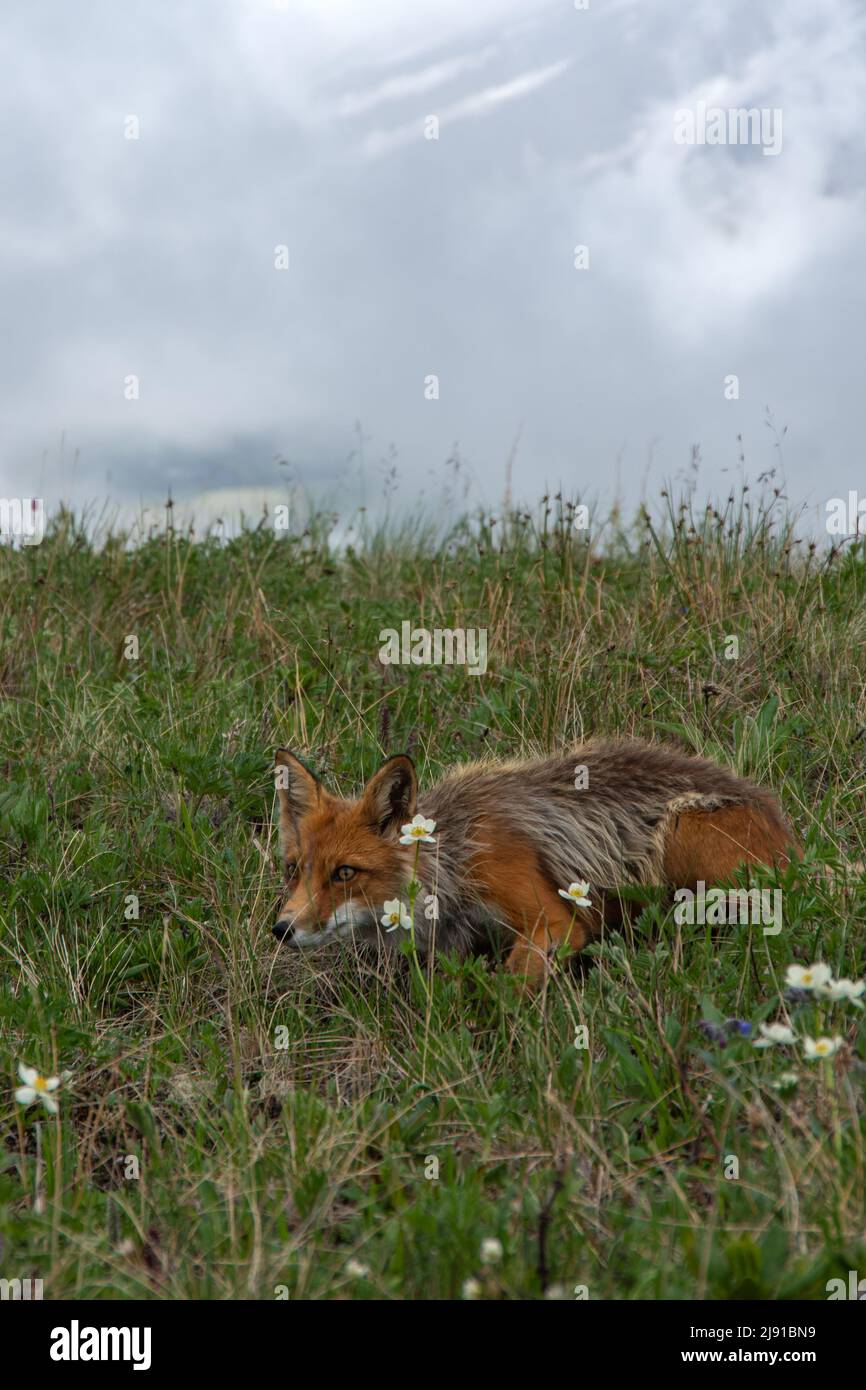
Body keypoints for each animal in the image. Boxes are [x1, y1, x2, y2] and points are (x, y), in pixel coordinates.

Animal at [271, 738, 798, 988]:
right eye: (294, 869)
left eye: (345, 873)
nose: (282, 929)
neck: (454, 861)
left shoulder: (555, 920)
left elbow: (510, 987)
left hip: (679, 836)